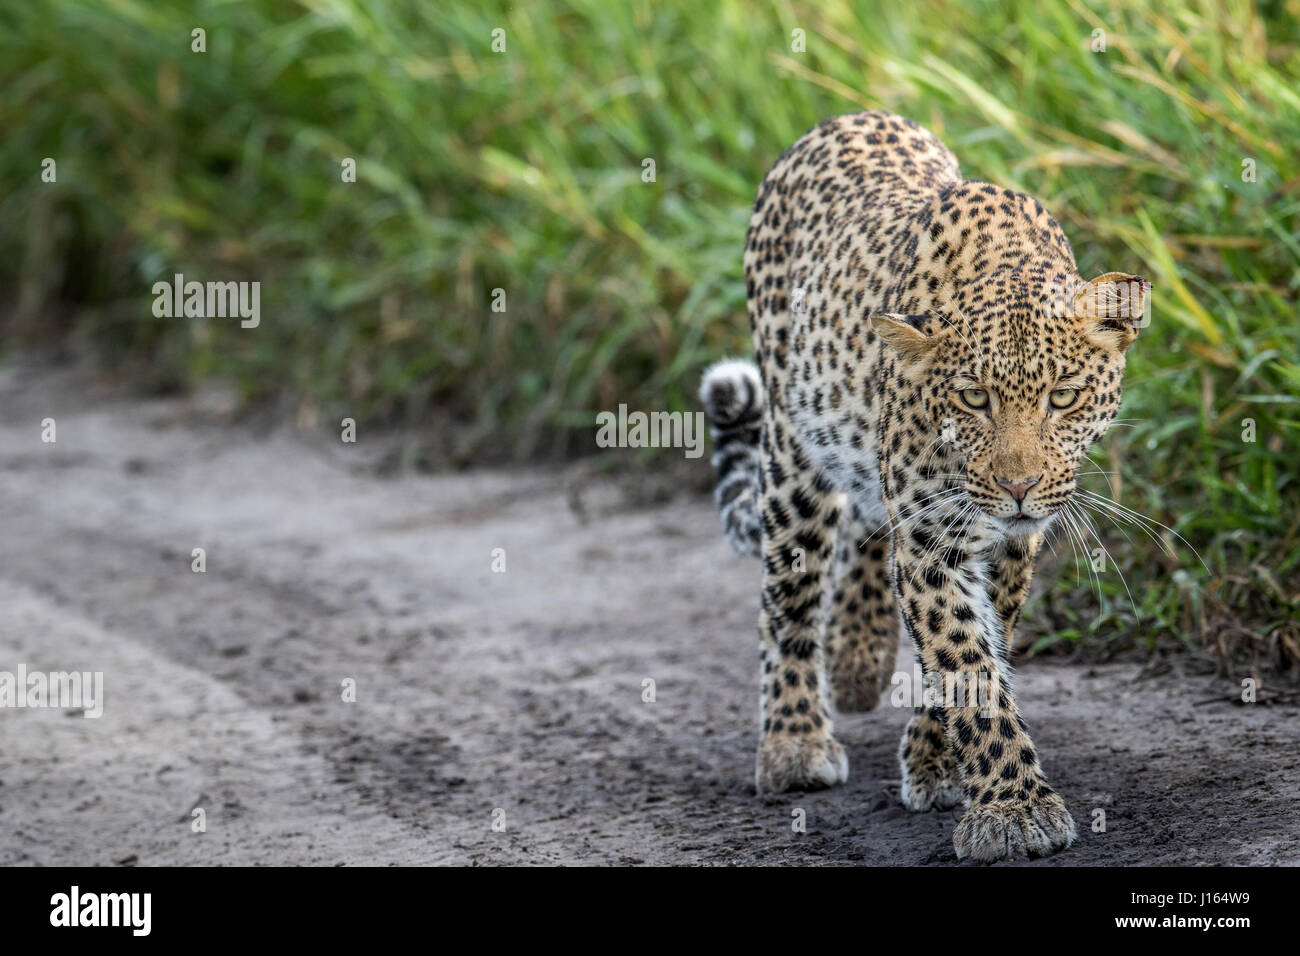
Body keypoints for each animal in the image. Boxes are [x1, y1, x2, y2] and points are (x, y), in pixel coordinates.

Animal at [699, 110, 1149, 862]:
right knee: (789, 597)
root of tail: (845, 117)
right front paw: (1013, 810)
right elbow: (966, 664)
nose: (1019, 486)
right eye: (972, 398)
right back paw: (795, 741)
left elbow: (978, 647)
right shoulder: (932, 537)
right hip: (793, 447)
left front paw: (937, 760)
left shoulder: (1009, 545)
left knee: (863, 532)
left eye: (1063, 396)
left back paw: (858, 657)